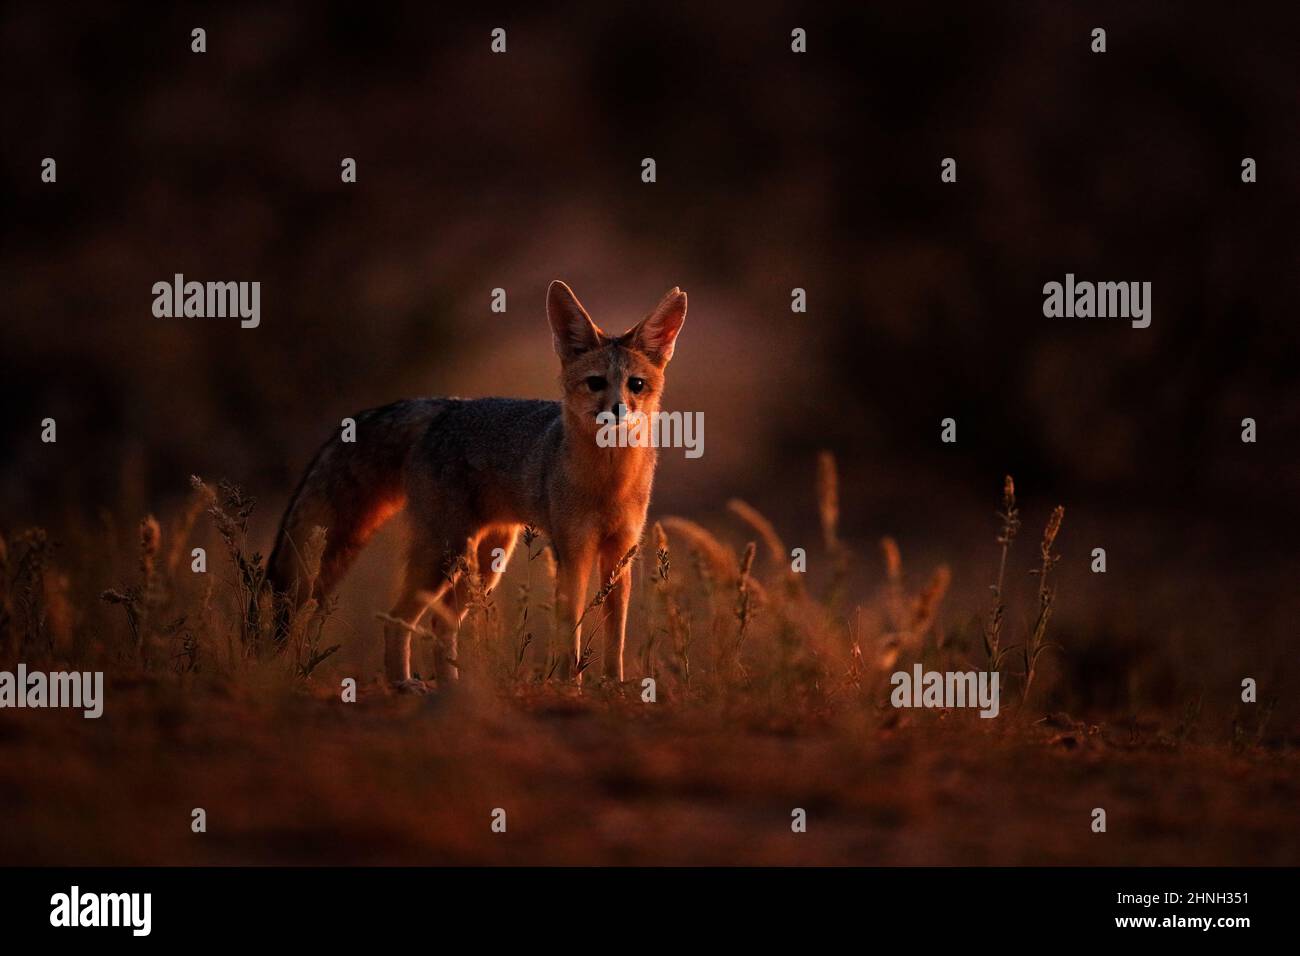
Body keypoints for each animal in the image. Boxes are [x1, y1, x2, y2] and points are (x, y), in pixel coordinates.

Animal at [266, 280, 687, 689]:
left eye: (636, 384)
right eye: (595, 383)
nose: (618, 411)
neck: (609, 483)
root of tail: (446, 406)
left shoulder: (620, 554)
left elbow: (616, 639)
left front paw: (614, 687)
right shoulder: (572, 554)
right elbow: (571, 635)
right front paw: (572, 688)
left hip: (487, 561)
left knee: (440, 622)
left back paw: (451, 688)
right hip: (445, 553)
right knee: (396, 617)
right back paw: (403, 683)